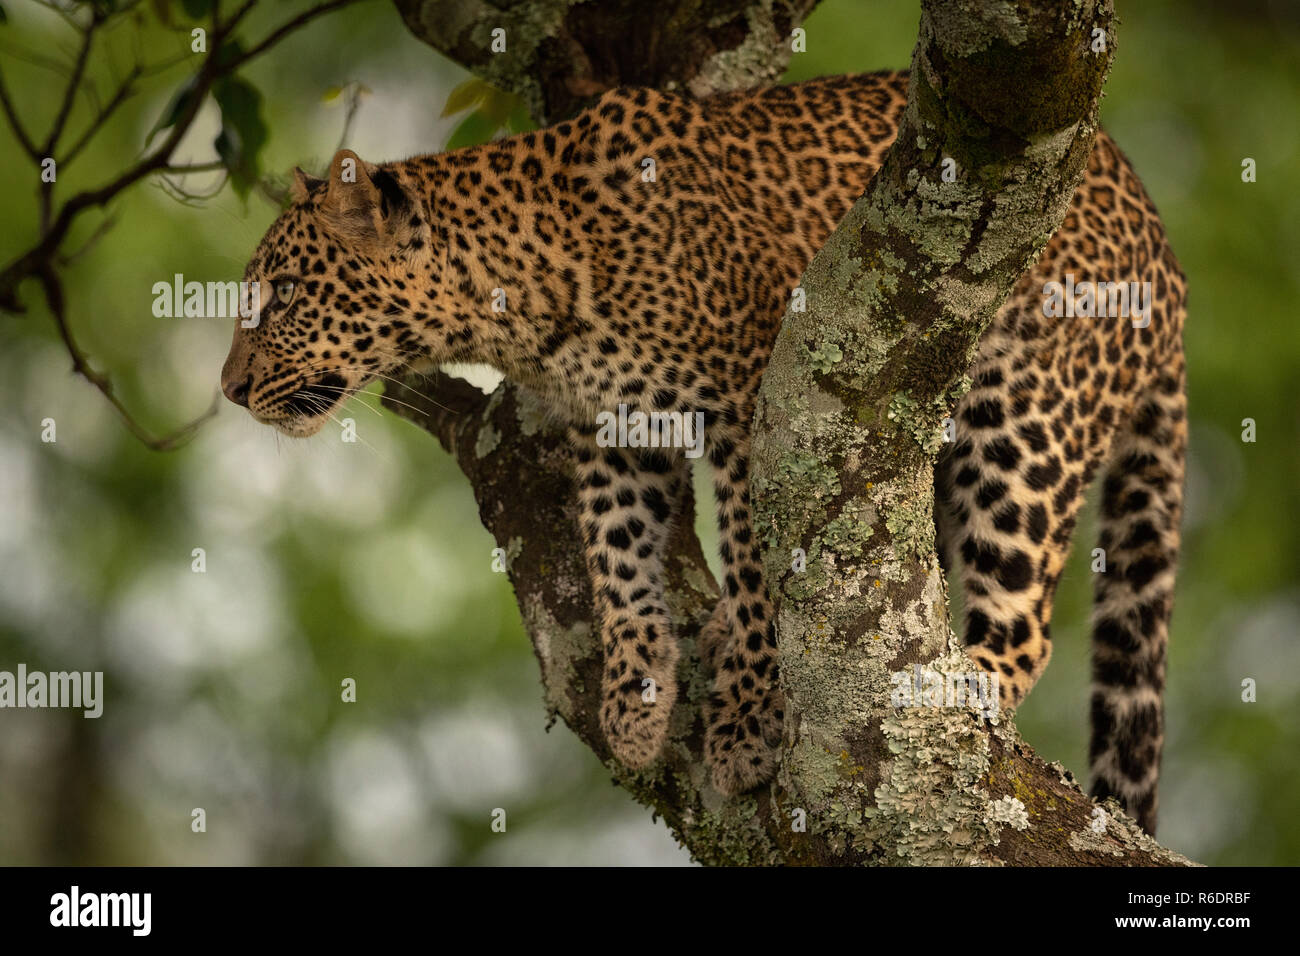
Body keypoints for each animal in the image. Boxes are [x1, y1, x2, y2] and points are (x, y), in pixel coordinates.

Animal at [220, 71, 1187, 835]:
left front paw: (749, 721)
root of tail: (1163, 246)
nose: (228, 388)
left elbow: (759, 562)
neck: (518, 308)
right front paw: (634, 700)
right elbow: (614, 557)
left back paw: (961, 696)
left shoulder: (751, 401)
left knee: (1025, 623)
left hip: (1026, 412)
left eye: (287, 293)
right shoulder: (616, 427)